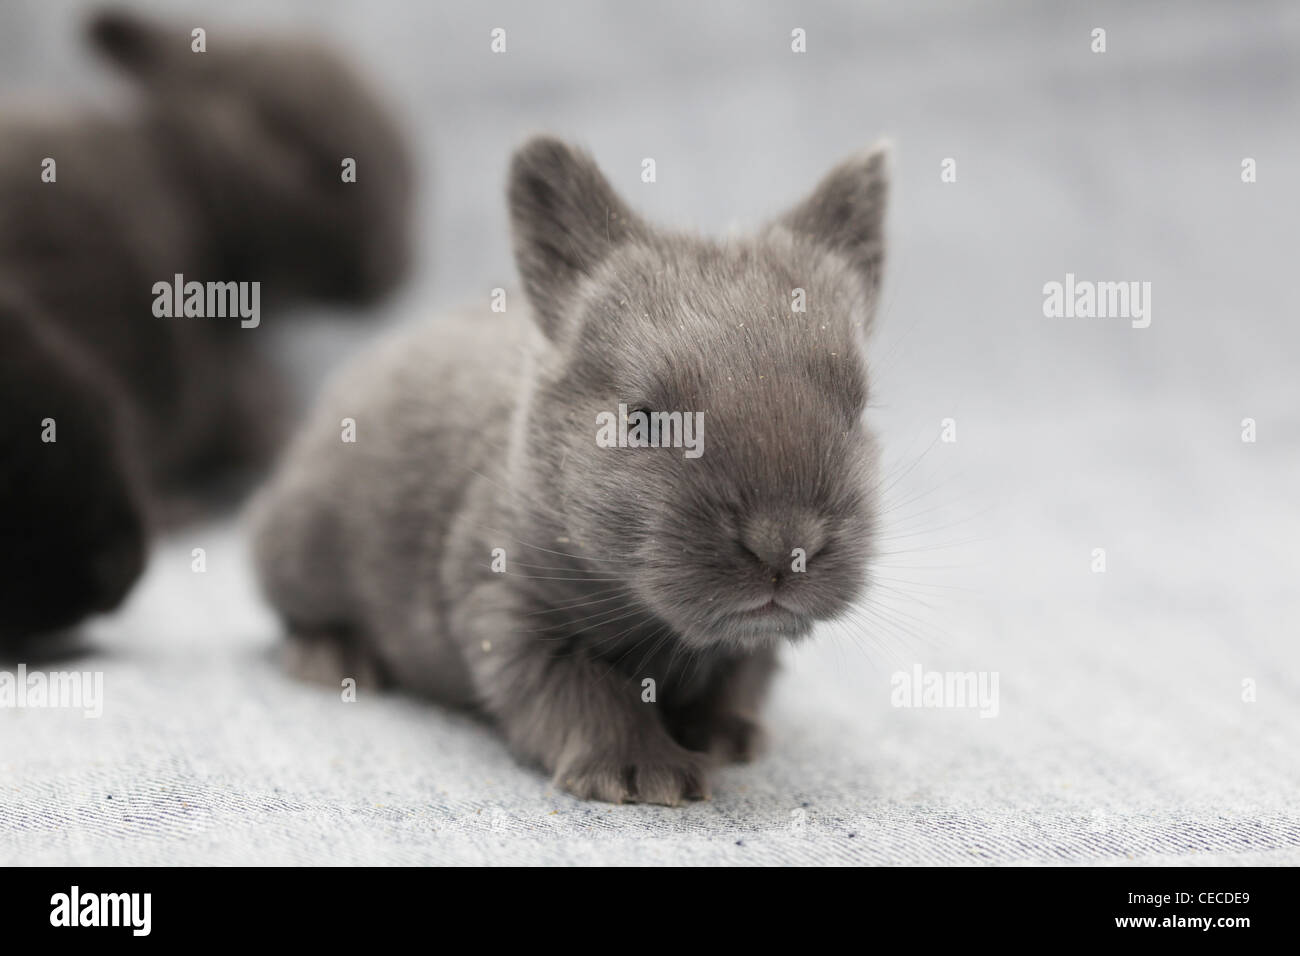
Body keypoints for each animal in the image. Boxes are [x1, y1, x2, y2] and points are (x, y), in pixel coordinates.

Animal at [251, 136, 888, 805]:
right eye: (644, 421)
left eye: (857, 410)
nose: (784, 545)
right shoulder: (511, 616)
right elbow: (587, 696)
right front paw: (643, 774)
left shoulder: (746, 648)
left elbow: (742, 674)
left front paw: (730, 739)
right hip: (298, 548)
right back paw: (333, 661)